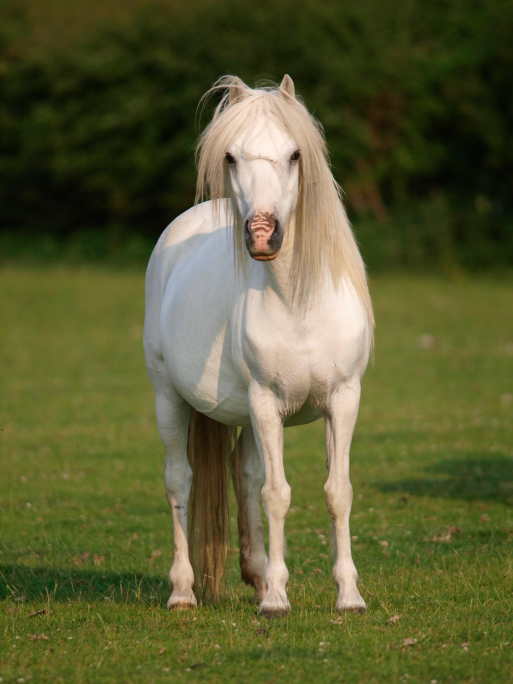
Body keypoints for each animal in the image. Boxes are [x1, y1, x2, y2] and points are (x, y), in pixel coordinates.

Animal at [143, 75, 374, 617]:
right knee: (180, 480)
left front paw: (348, 595)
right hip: (171, 398)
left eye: (294, 155)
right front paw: (275, 599)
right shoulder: (266, 402)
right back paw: (183, 591)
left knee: (242, 474)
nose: (263, 234)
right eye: (230, 157)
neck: (299, 302)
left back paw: (253, 573)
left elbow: (337, 491)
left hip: (244, 414)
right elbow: (278, 494)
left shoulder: (343, 399)